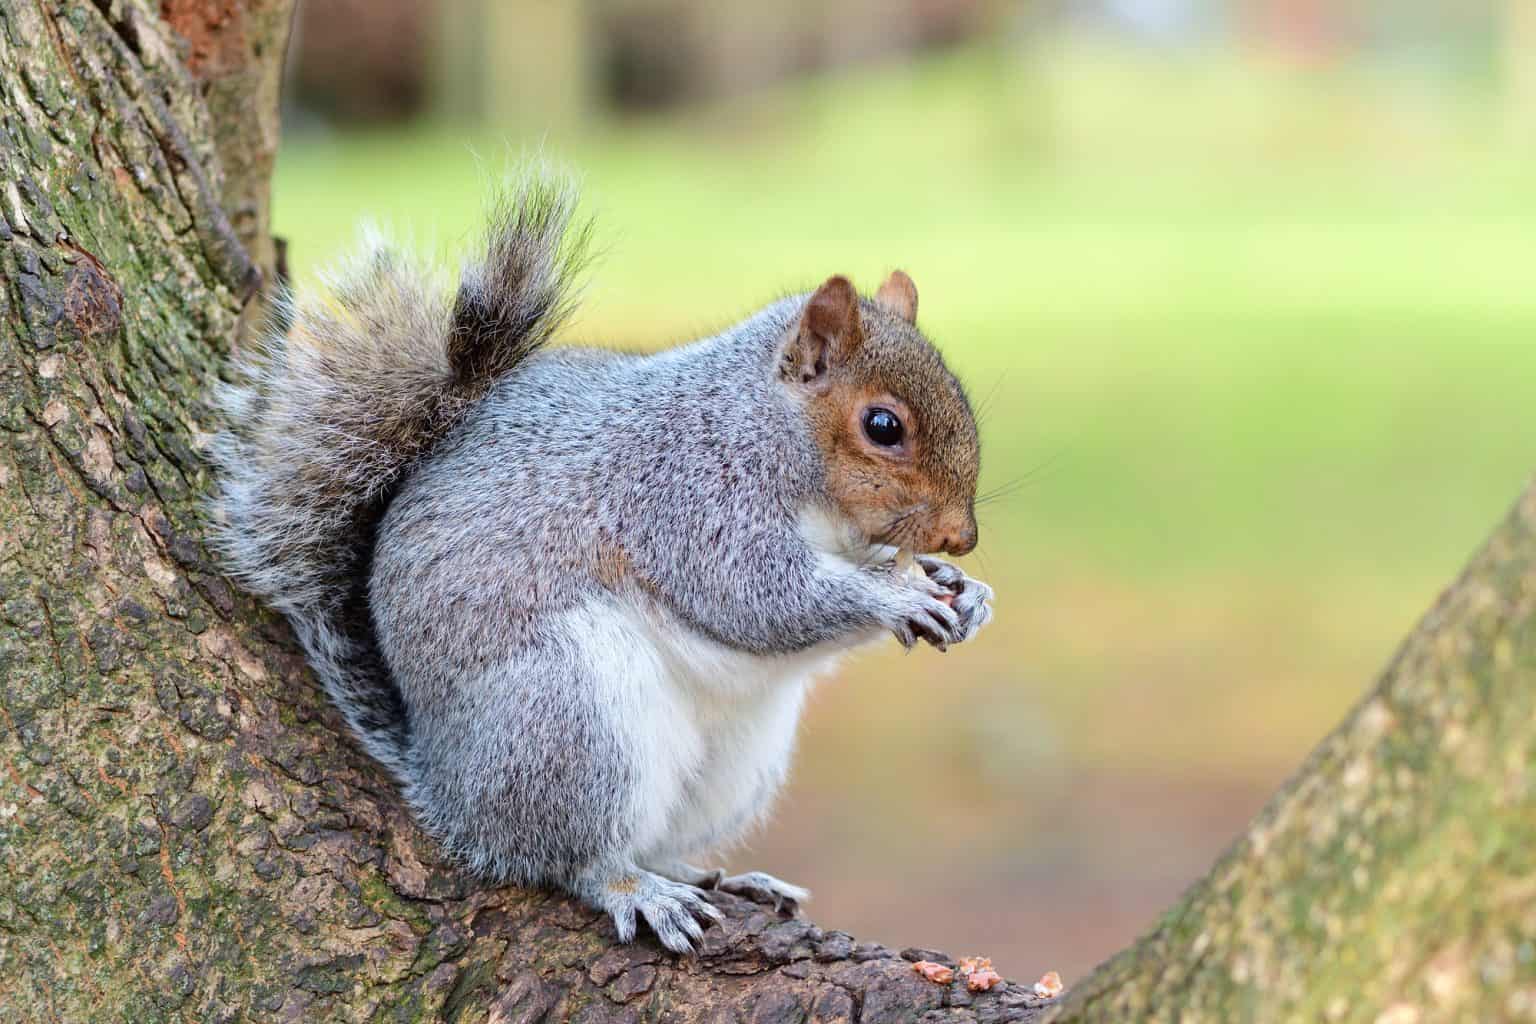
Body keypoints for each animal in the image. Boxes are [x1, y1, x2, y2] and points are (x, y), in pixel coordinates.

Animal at [212, 171, 993, 953]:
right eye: (883, 426)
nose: (963, 537)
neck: (767, 430)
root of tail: (444, 783)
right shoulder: (686, 496)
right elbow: (758, 597)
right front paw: (897, 597)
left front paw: (962, 589)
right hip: (570, 718)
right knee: (564, 856)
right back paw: (635, 888)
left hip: (735, 758)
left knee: (657, 836)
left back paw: (719, 877)